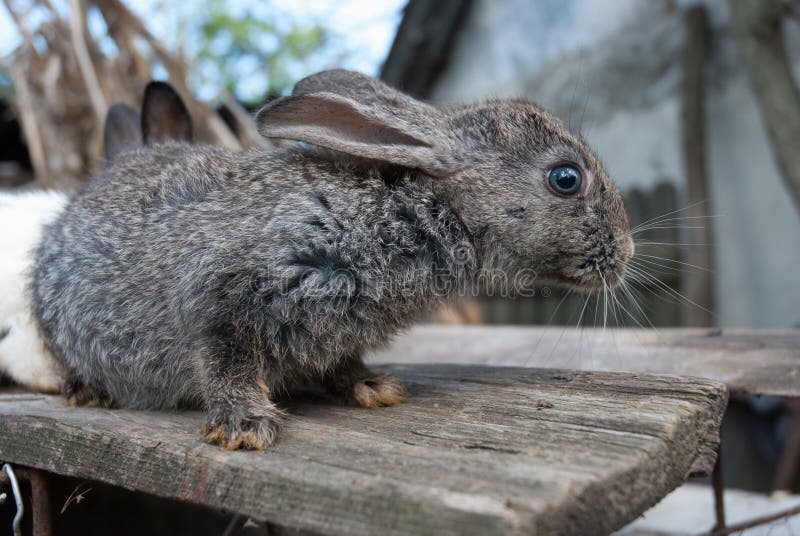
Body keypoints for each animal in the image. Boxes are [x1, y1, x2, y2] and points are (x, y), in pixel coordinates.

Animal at [32, 70, 633, 450]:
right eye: (566, 178)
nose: (625, 253)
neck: (424, 205)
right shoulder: (223, 292)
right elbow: (223, 360)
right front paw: (244, 427)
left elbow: (339, 361)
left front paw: (371, 388)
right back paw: (88, 392)